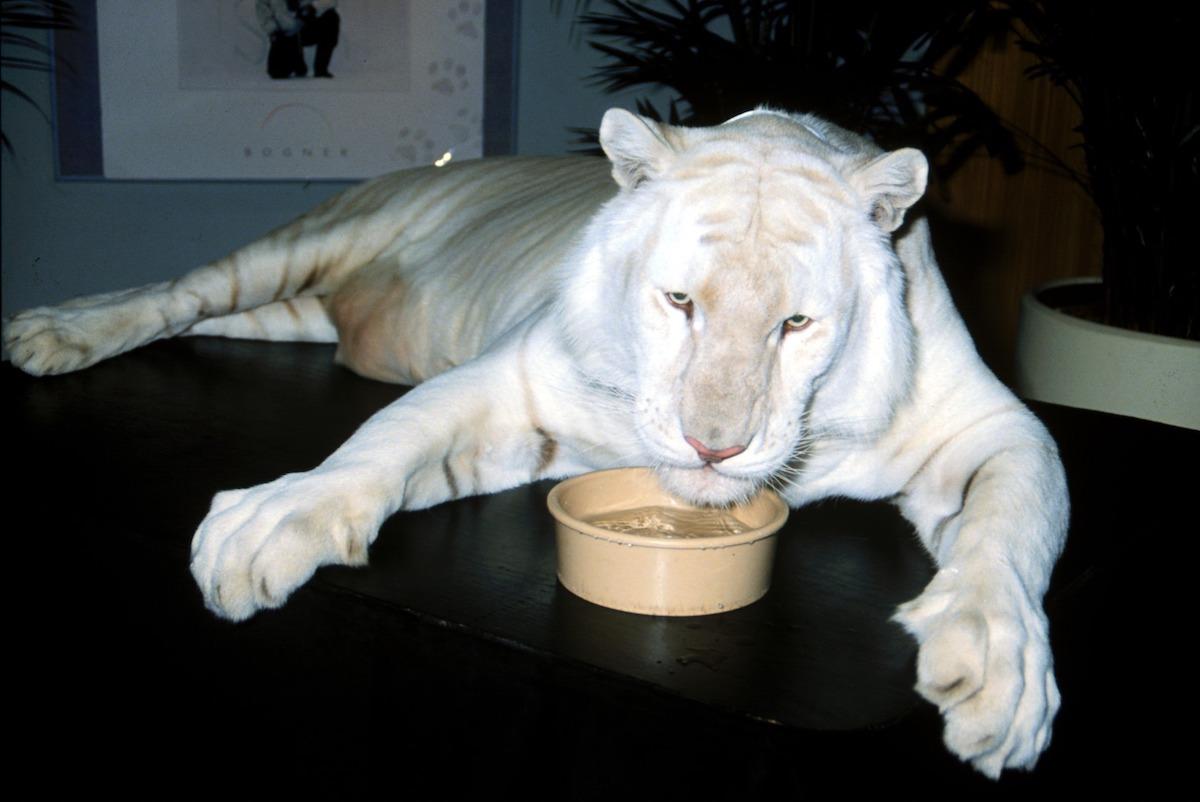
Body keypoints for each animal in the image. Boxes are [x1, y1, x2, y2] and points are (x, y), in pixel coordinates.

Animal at [3, 108, 1068, 779]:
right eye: (678, 301)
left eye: (796, 324)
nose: (713, 449)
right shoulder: (511, 377)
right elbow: (383, 438)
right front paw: (266, 525)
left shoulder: (996, 428)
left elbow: (1014, 528)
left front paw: (998, 674)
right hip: (307, 240)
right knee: (174, 291)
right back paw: (51, 331)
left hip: (293, 313)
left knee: (212, 317)